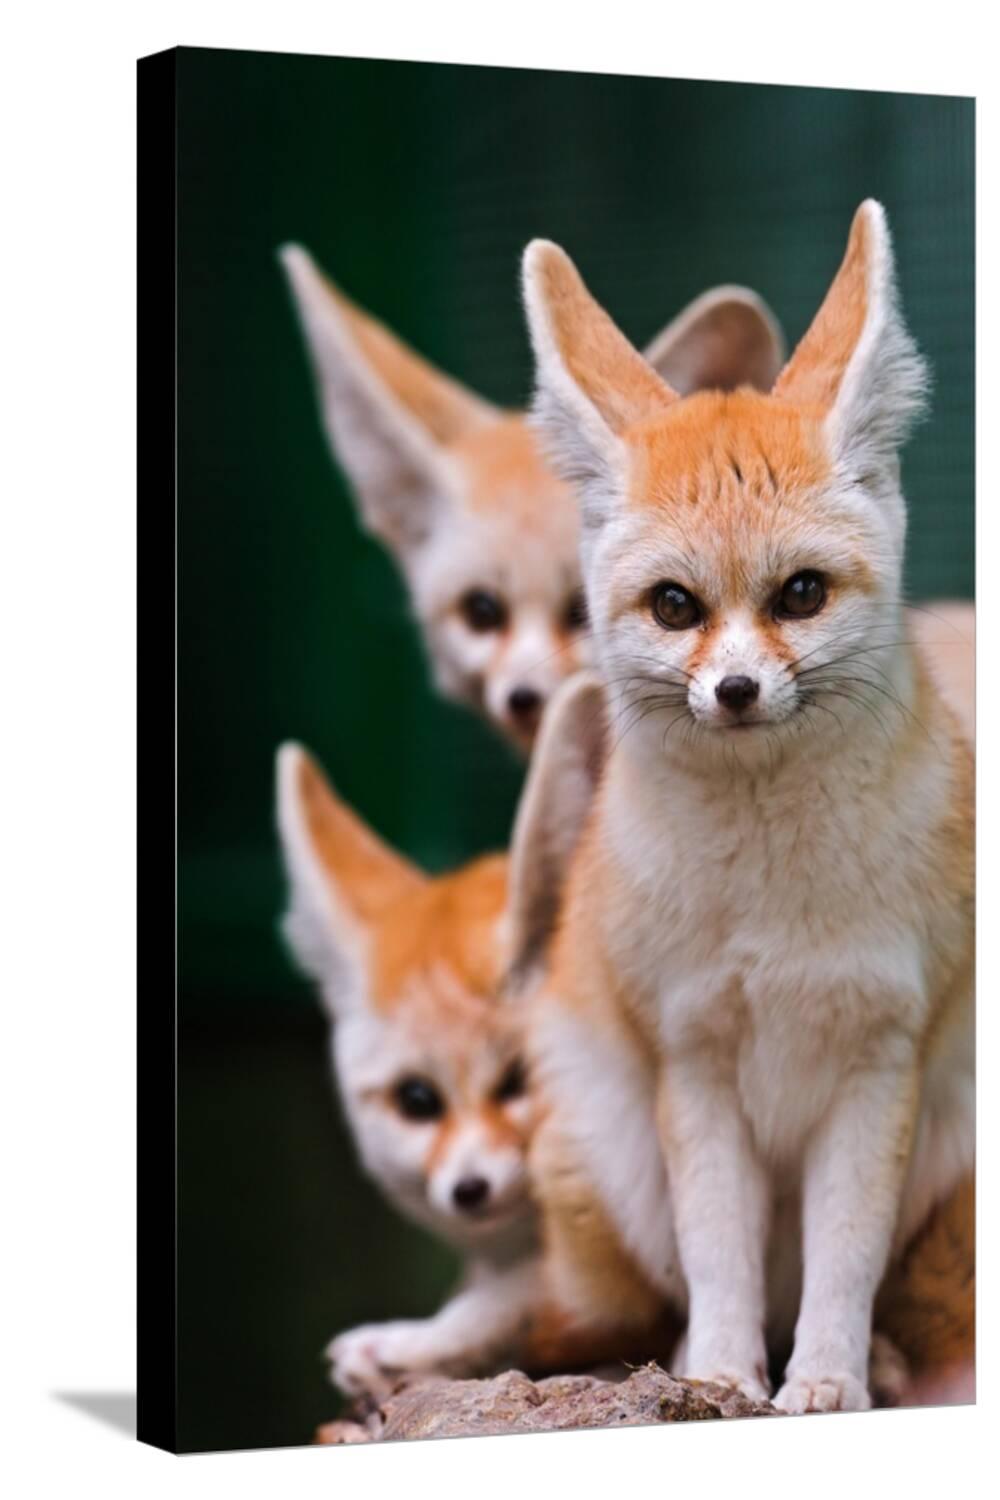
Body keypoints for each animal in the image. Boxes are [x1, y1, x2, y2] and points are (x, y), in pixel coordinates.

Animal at [513, 201, 975, 1414]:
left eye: (799, 594)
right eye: (676, 607)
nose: (732, 691)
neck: (773, 892)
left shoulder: (879, 1058)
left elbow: (845, 1257)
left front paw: (827, 1382)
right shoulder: (695, 1062)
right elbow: (718, 1251)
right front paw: (721, 1377)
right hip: (612, 1140)